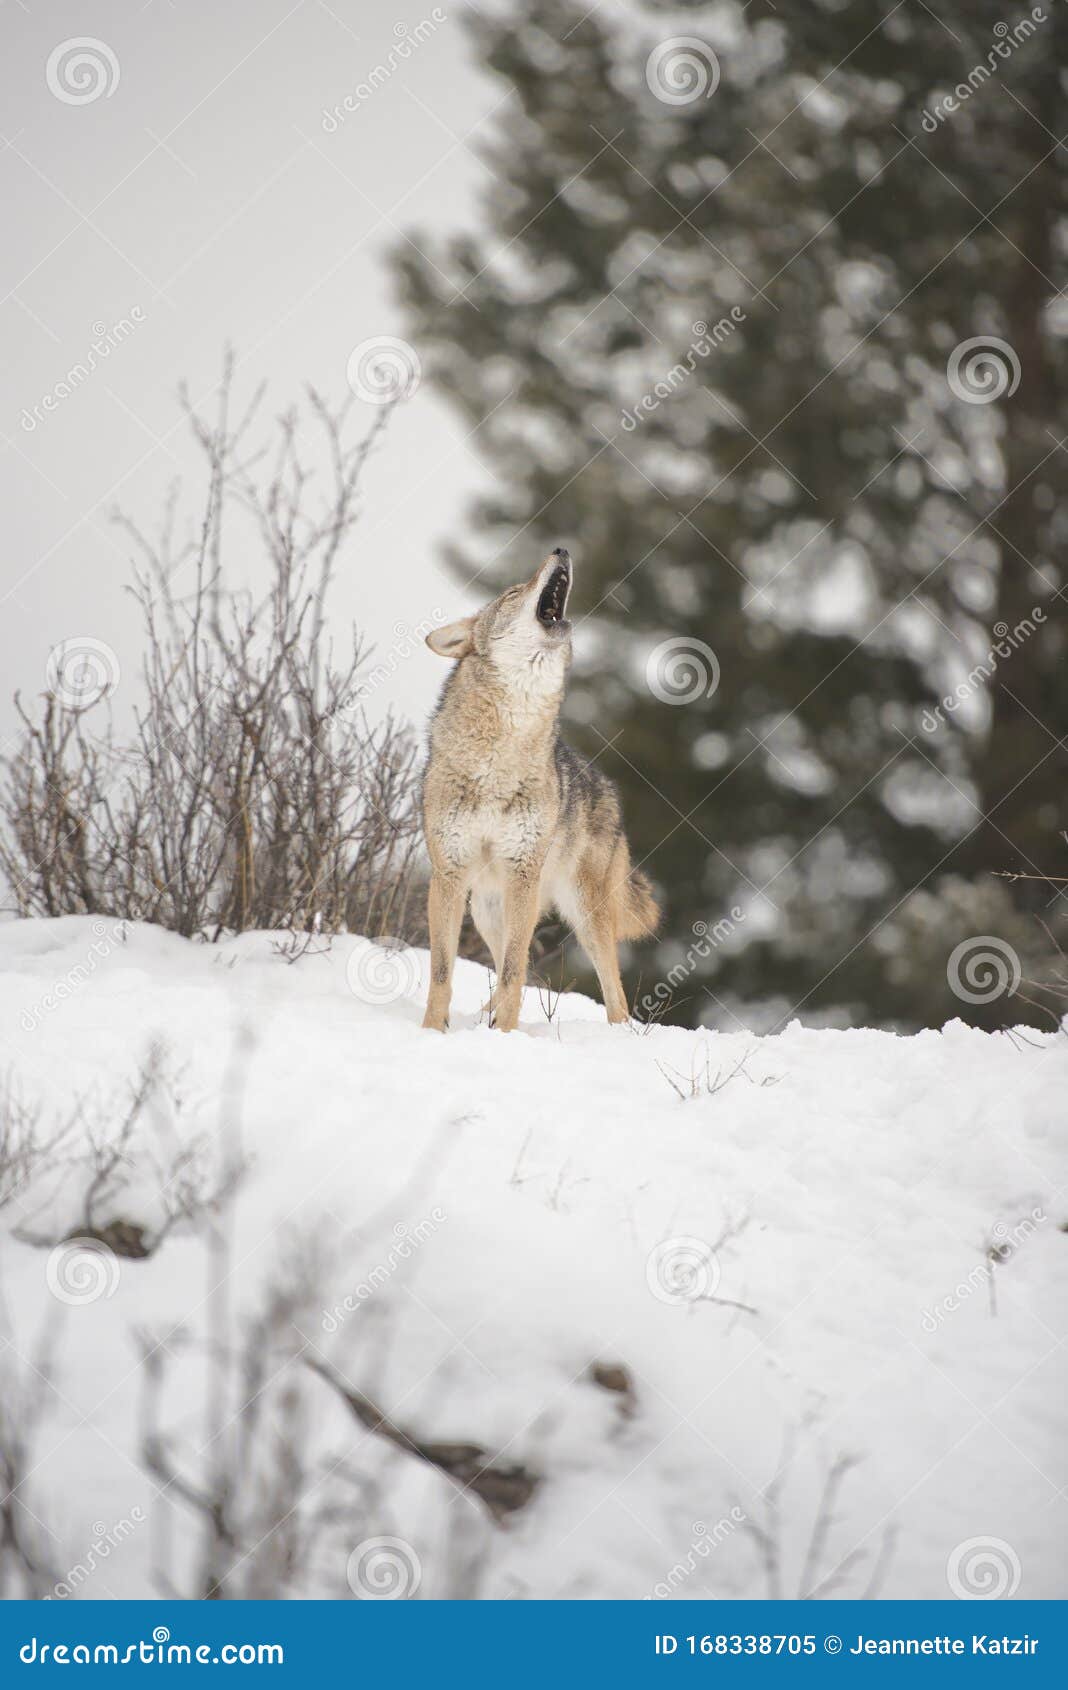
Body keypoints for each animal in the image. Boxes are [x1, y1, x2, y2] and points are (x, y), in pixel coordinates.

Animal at [420, 547, 659, 1032]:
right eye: (514, 591)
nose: (561, 549)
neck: (500, 757)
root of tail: (608, 789)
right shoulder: (449, 874)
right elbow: (443, 970)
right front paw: (433, 1031)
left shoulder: (522, 873)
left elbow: (512, 971)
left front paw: (506, 1035)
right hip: (488, 908)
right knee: (519, 966)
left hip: (582, 910)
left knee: (613, 991)